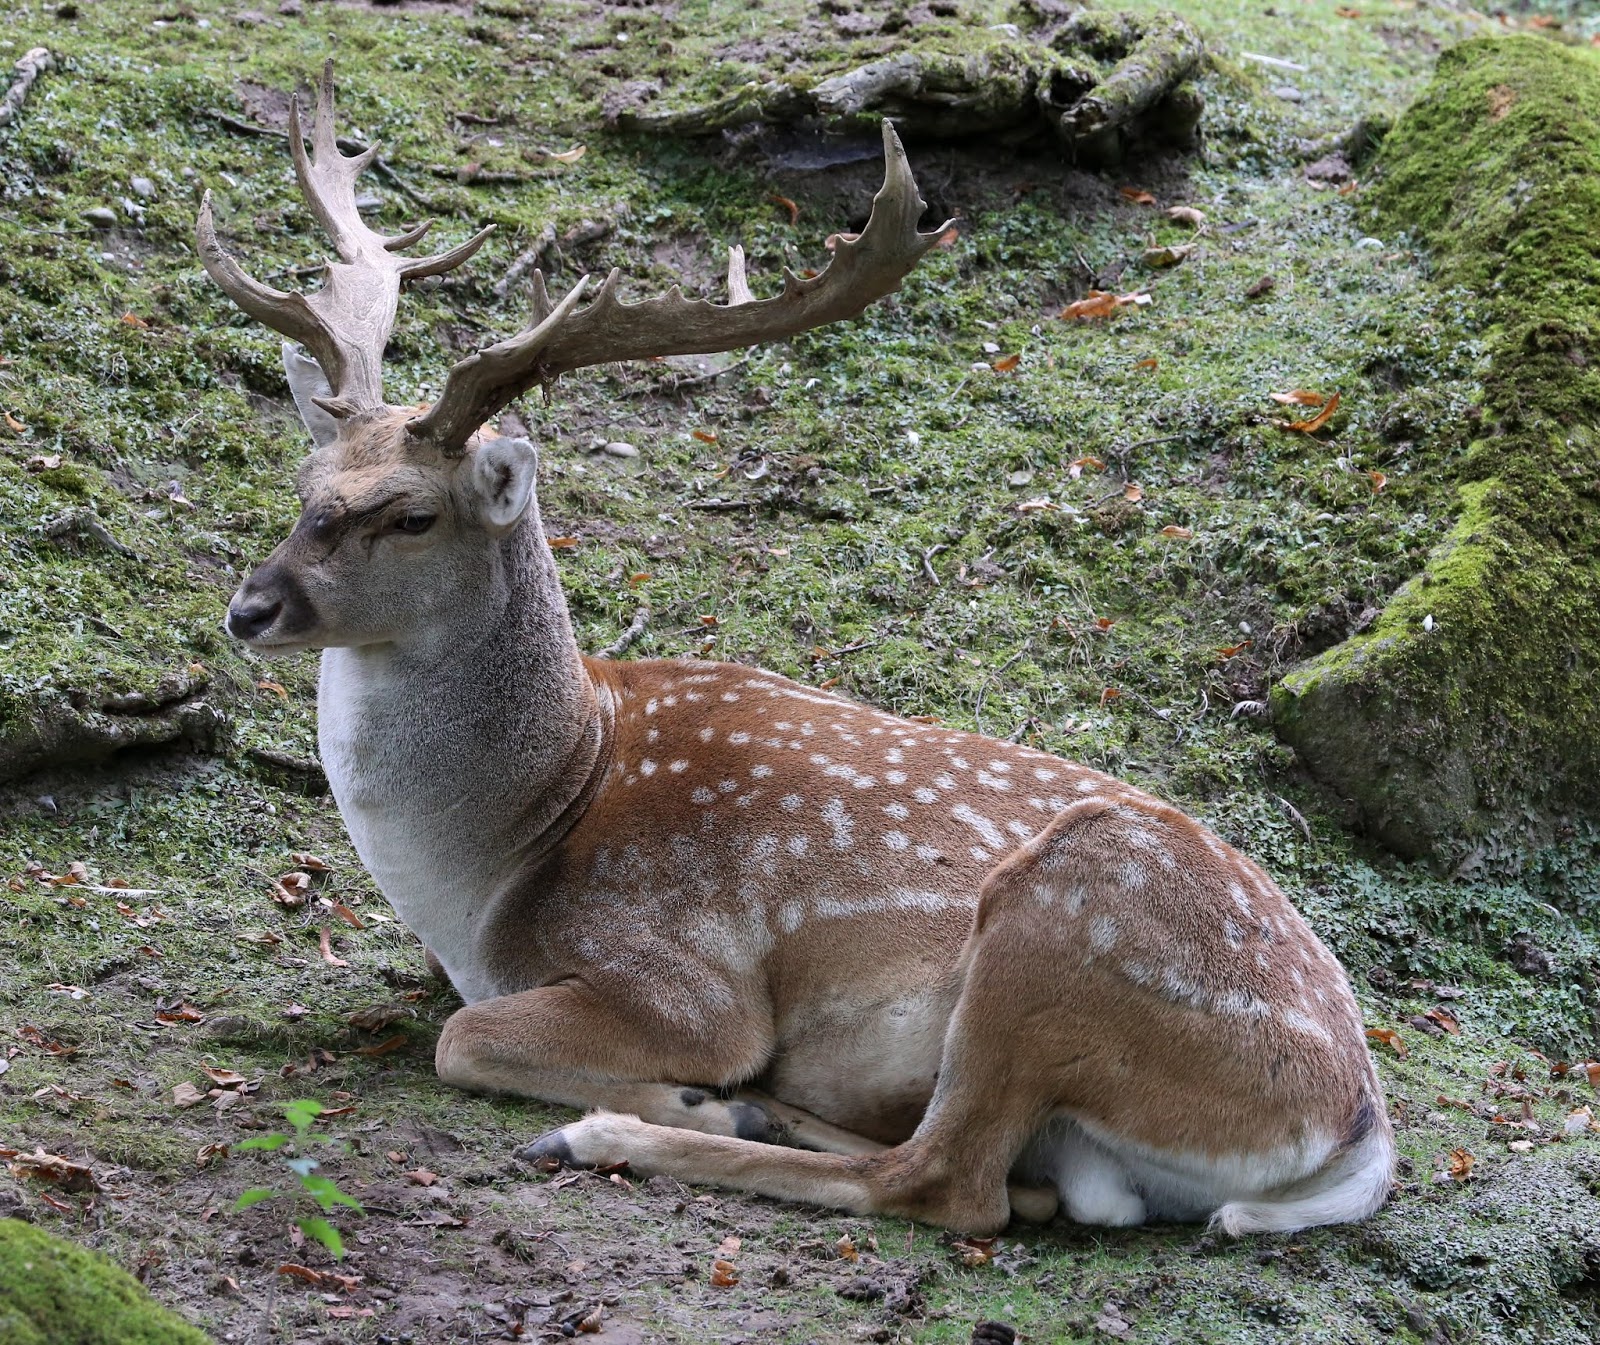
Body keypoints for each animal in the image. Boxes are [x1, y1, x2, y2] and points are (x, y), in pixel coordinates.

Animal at [202, 62, 1393, 1237]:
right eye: (305, 486)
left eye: (410, 515)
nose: (250, 607)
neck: (493, 864)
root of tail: (1355, 1130)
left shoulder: (681, 978)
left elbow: (467, 1037)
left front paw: (682, 1091)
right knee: (1026, 1184)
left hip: (1069, 911)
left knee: (948, 1184)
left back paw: (628, 1128)